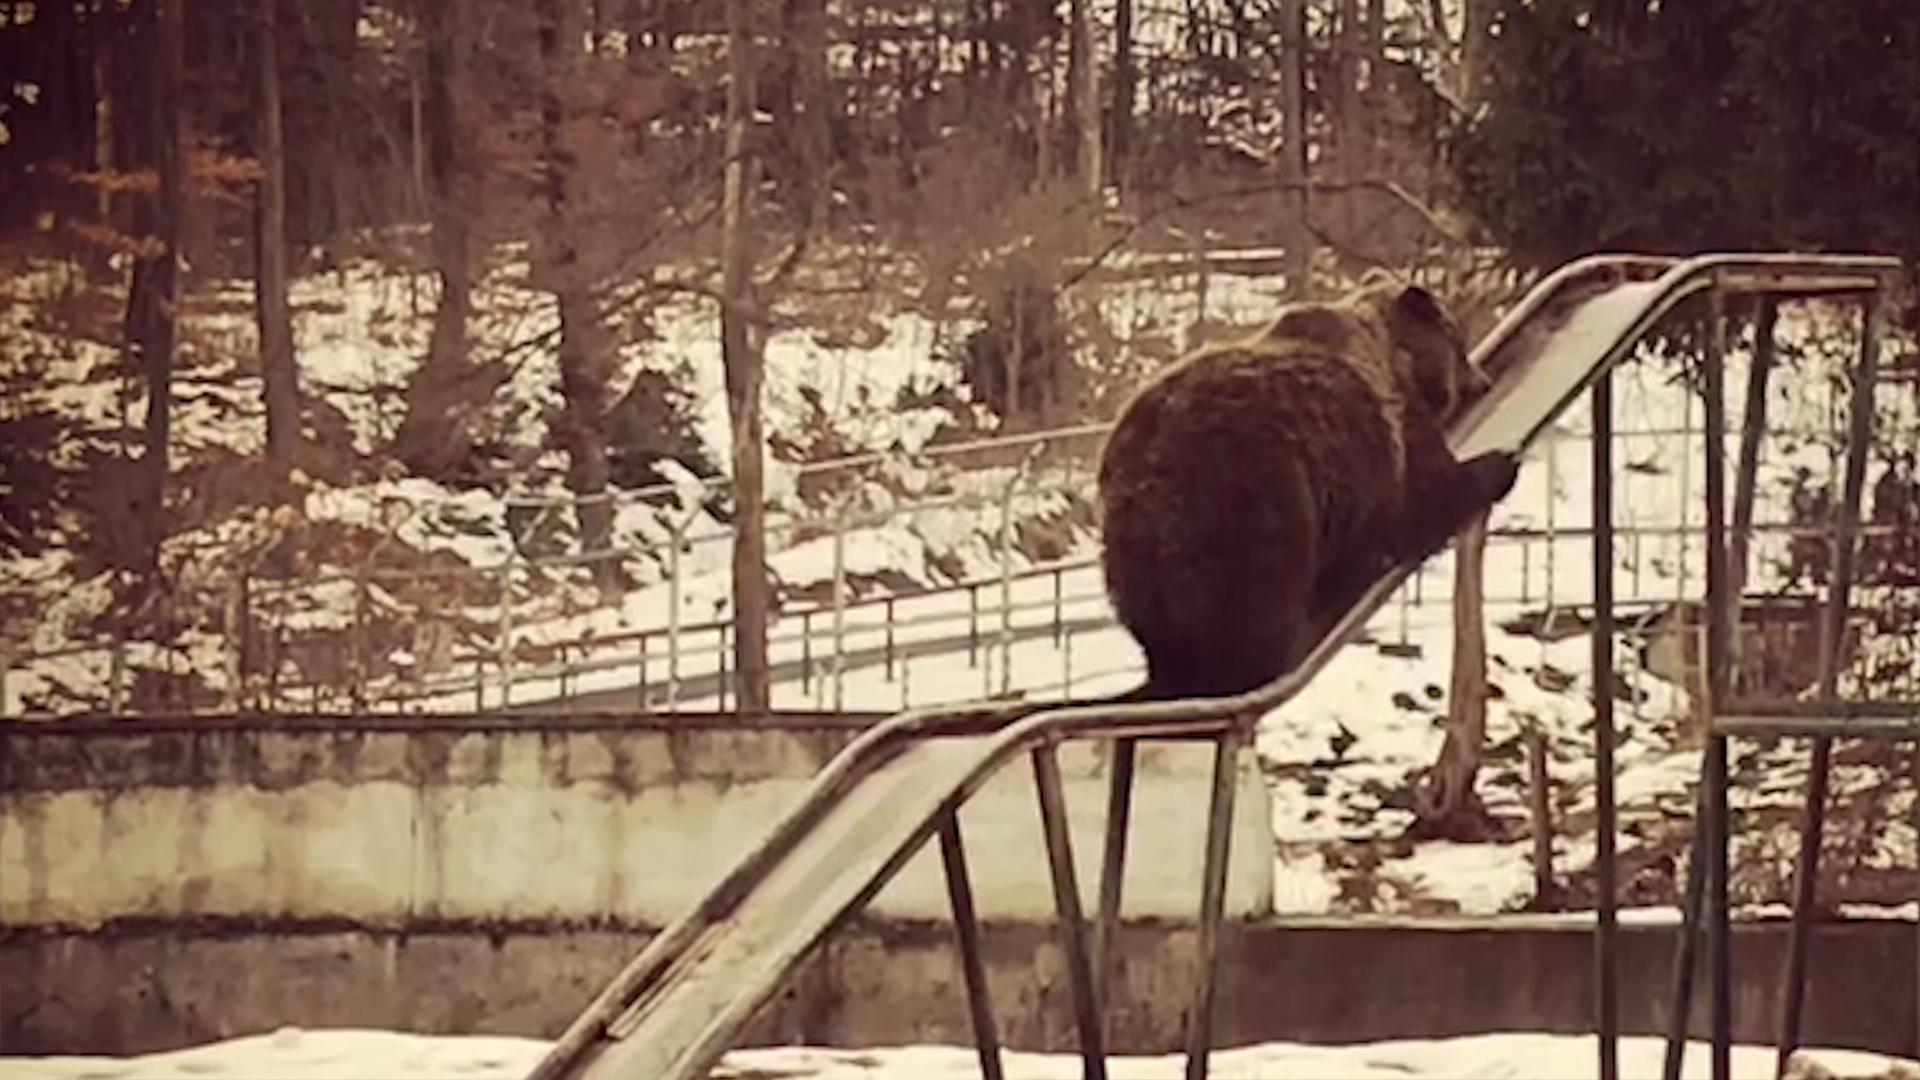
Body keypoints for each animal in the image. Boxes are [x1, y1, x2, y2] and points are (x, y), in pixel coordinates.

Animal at [1095, 274, 1520, 702]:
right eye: (1459, 343)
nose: (1483, 382)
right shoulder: (1390, 435)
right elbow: (1426, 498)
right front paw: (1501, 461)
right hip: (1254, 493)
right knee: (1259, 598)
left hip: (1131, 538)